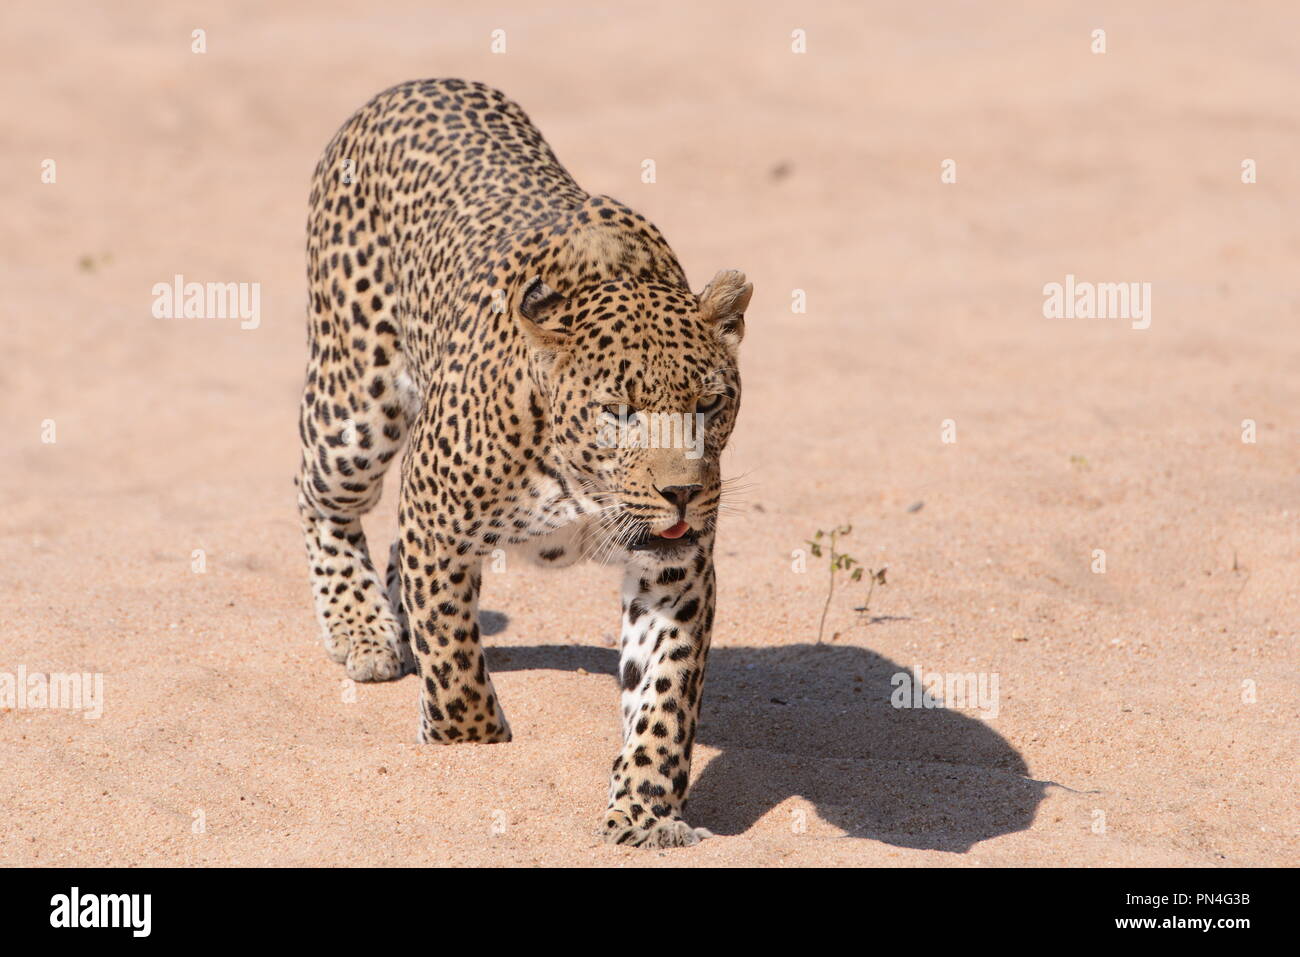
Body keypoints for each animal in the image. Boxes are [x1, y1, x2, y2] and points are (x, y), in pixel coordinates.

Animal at [295, 78, 752, 848]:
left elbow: (663, 696)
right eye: (617, 411)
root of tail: (412, 84)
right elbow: (455, 667)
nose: (685, 494)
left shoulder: (677, 571)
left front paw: (645, 812)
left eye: (711, 402)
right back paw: (364, 628)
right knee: (317, 495)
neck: (582, 484)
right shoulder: (438, 520)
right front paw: (467, 747)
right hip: (354, 403)